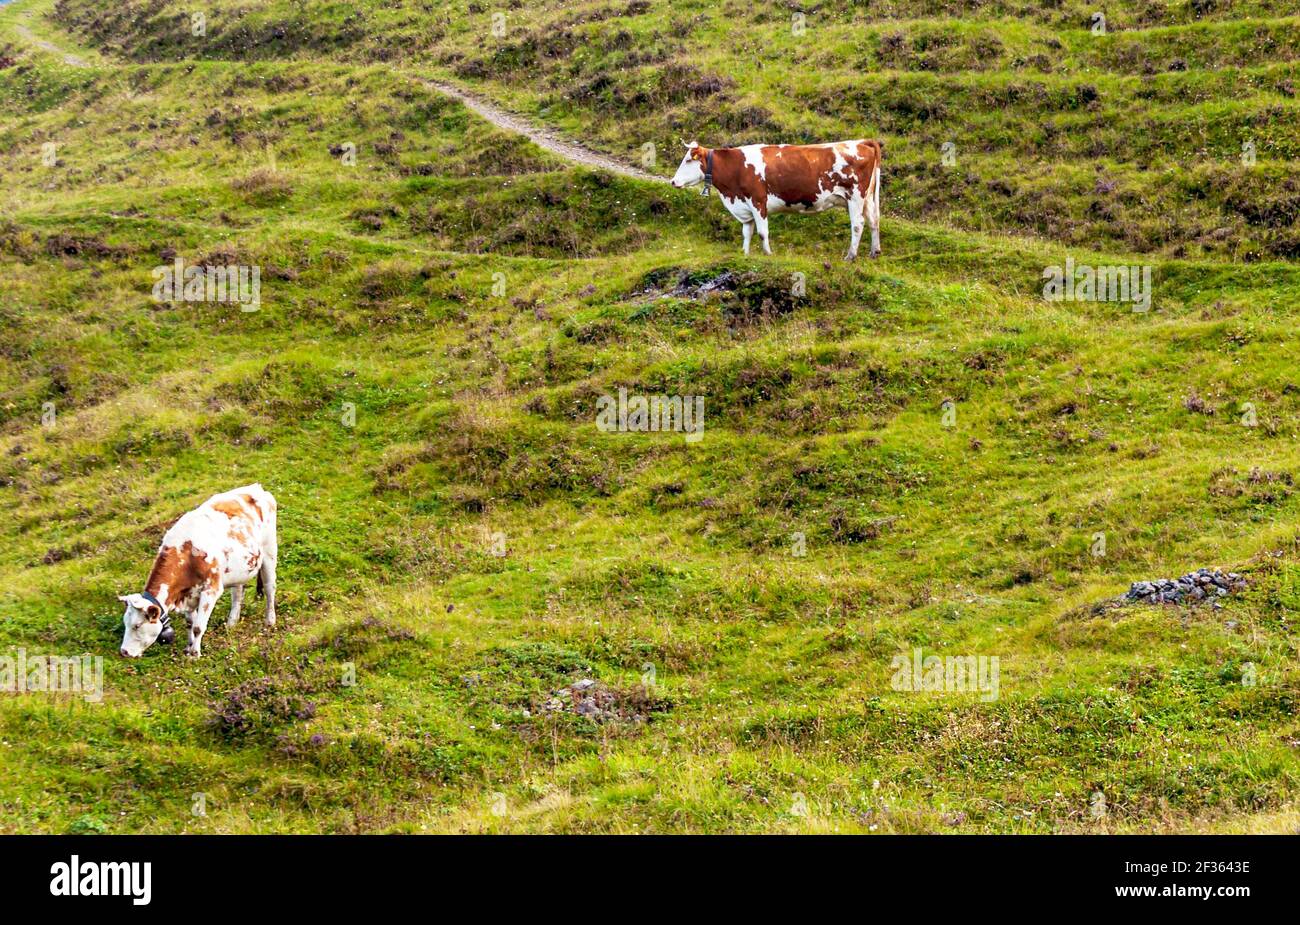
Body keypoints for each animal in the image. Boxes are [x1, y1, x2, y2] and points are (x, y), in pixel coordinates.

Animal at [118, 483, 278, 658]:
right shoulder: (188, 594)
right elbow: (190, 623)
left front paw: (195, 654)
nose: (124, 652)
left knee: (269, 587)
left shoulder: (211, 590)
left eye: (137, 625)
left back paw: (270, 620)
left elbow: (198, 627)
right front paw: (188, 648)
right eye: (126, 623)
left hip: (269, 552)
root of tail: (256, 487)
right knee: (237, 593)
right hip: (239, 569)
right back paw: (231, 623)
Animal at [670, 140, 883, 260]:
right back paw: (874, 252)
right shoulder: (744, 205)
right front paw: (745, 254)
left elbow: (762, 232)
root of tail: (862, 142)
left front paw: (767, 254)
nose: (673, 181)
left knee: (858, 224)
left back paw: (851, 255)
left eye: (688, 160)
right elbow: (746, 232)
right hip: (866, 198)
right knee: (873, 221)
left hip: (855, 196)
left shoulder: (758, 200)